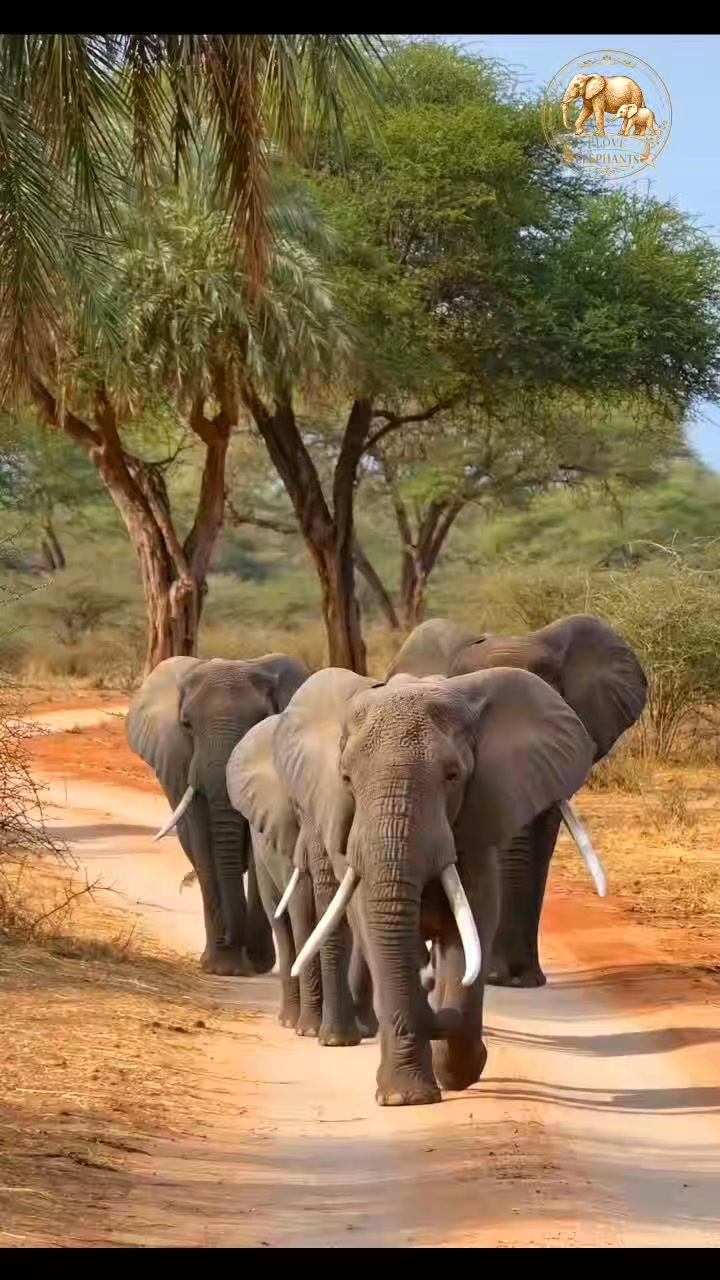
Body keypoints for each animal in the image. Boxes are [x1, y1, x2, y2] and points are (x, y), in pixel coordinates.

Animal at [126, 653, 309, 975]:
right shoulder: (181, 763)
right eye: (186, 724)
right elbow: (202, 839)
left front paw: (254, 963)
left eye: (261, 721)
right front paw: (223, 967)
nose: (232, 938)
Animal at [285, 666, 595, 1106]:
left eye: (452, 776)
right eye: (346, 778)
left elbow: (469, 930)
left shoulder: (476, 827)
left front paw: (455, 1066)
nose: (432, 1009)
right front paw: (404, 1098)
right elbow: (378, 933)